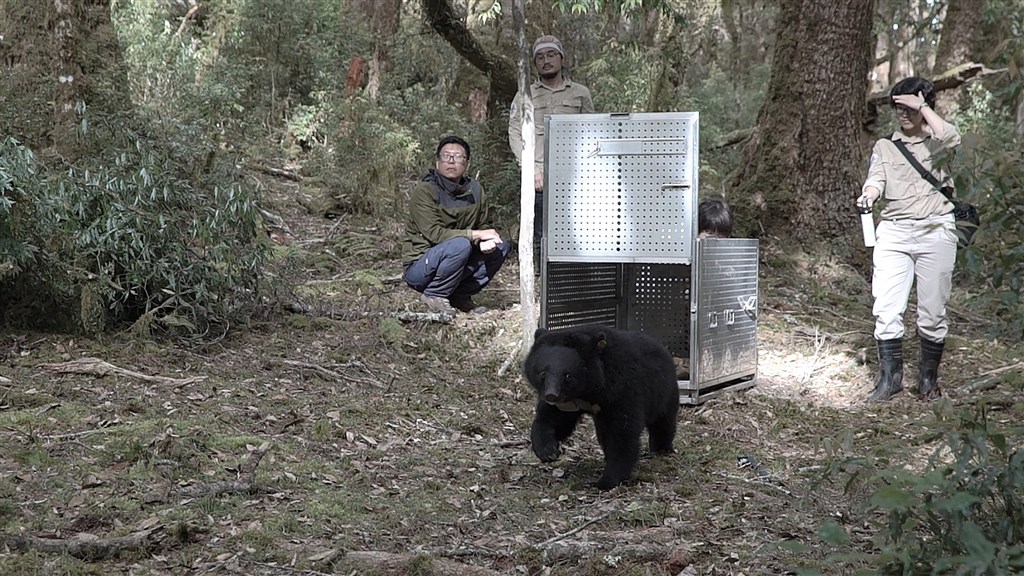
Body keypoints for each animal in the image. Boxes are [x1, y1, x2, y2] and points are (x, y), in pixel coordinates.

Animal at [523, 324, 680, 490]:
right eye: (542, 372)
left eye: (567, 375)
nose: (551, 395)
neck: (588, 391)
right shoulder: (566, 403)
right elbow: (553, 420)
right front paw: (548, 451)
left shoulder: (622, 390)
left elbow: (623, 432)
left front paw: (605, 481)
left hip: (664, 392)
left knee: (663, 422)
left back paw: (661, 448)